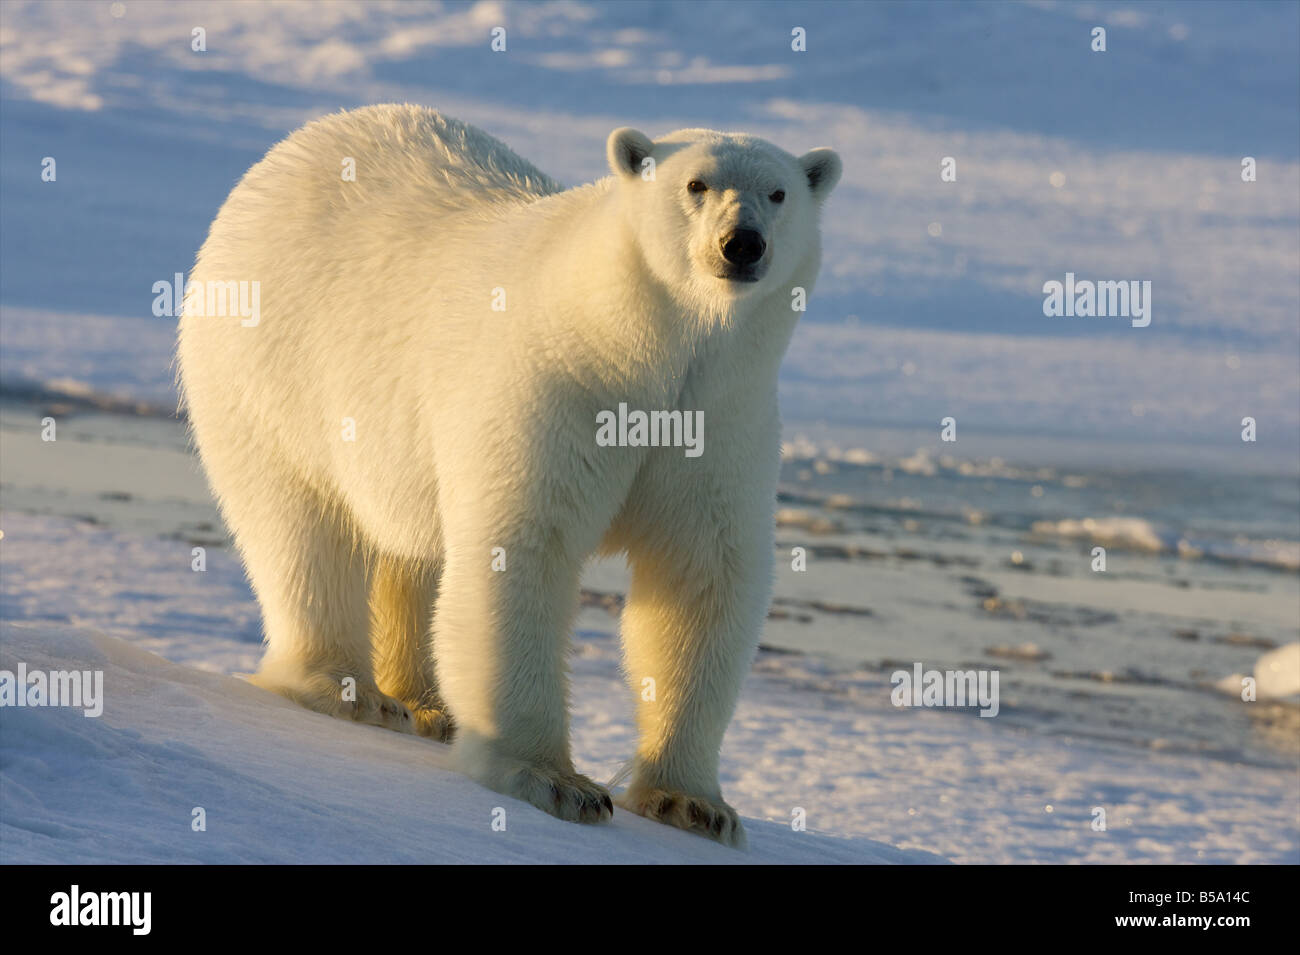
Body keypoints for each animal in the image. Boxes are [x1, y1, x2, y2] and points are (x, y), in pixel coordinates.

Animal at [177, 105, 840, 847]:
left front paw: (694, 805)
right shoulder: (558, 386)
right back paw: (349, 691)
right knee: (302, 525)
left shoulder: (719, 422)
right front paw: (555, 782)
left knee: (408, 548)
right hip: (272, 368)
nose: (742, 243)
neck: (635, 344)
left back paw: (426, 703)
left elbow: (700, 576)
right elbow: (521, 550)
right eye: (696, 184)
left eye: (779, 193)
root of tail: (290, 151)